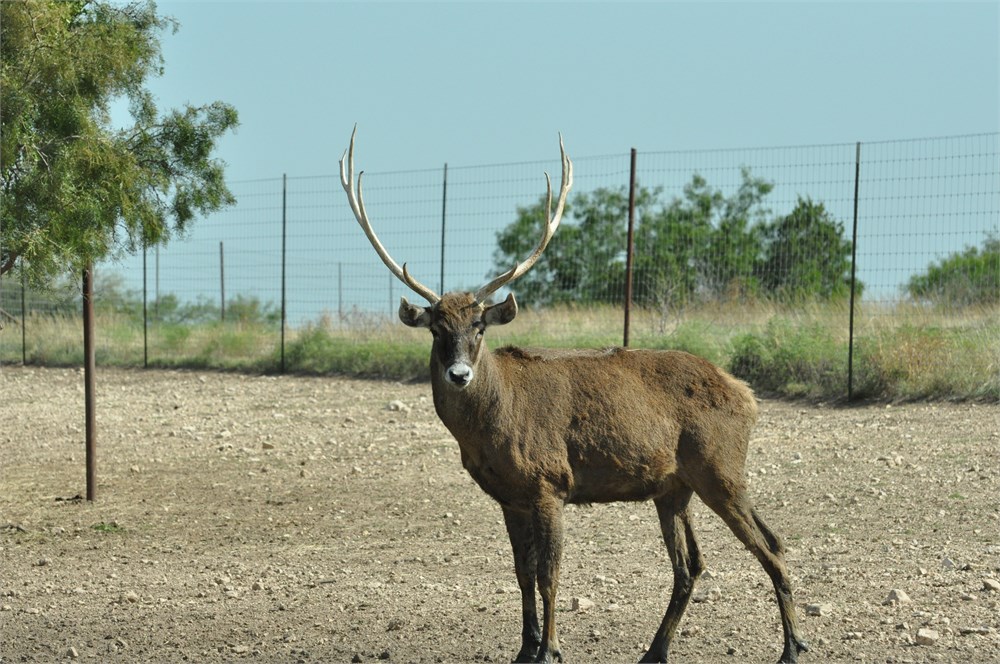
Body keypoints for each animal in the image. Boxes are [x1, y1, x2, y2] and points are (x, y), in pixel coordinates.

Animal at [339, 126, 809, 664]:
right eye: (436, 328)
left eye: (479, 326)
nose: (458, 374)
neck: (492, 431)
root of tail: (746, 394)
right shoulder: (509, 496)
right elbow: (521, 573)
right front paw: (524, 649)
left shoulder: (550, 482)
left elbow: (549, 573)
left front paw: (551, 649)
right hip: (675, 488)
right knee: (693, 564)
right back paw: (655, 652)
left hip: (720, 468)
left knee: (770, 545)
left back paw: (793, 647)